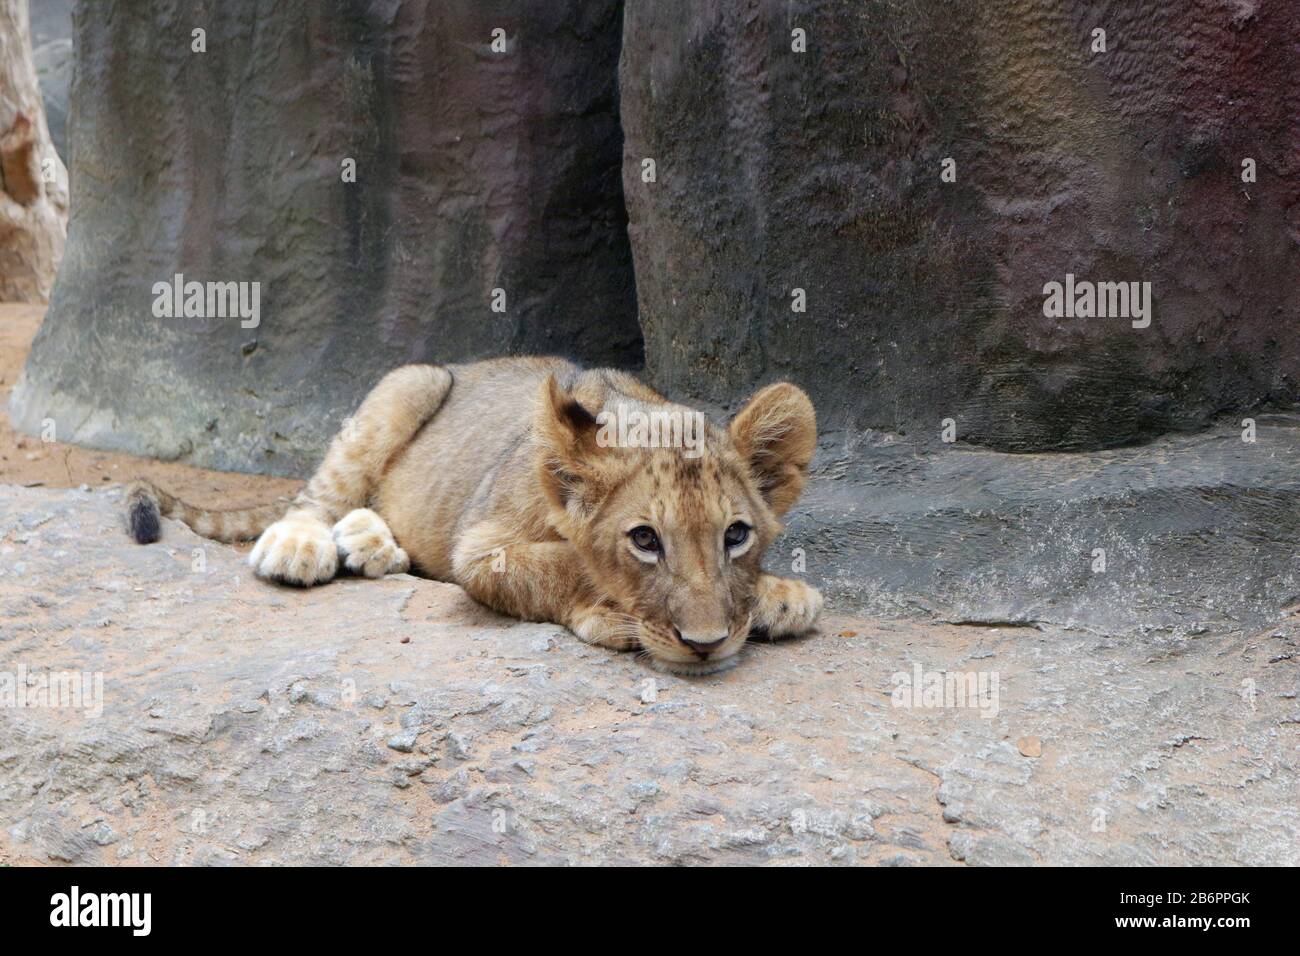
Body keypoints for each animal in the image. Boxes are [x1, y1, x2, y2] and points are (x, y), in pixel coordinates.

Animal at [125, 358, 823, 674]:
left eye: (736, 535)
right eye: (645, 540)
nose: (705, 646)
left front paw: (782, 596)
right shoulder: (482, 547)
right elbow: (564, 564)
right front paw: (611, 615)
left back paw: (370, 540)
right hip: (409, 383)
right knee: (314, 498)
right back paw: (305, 545)